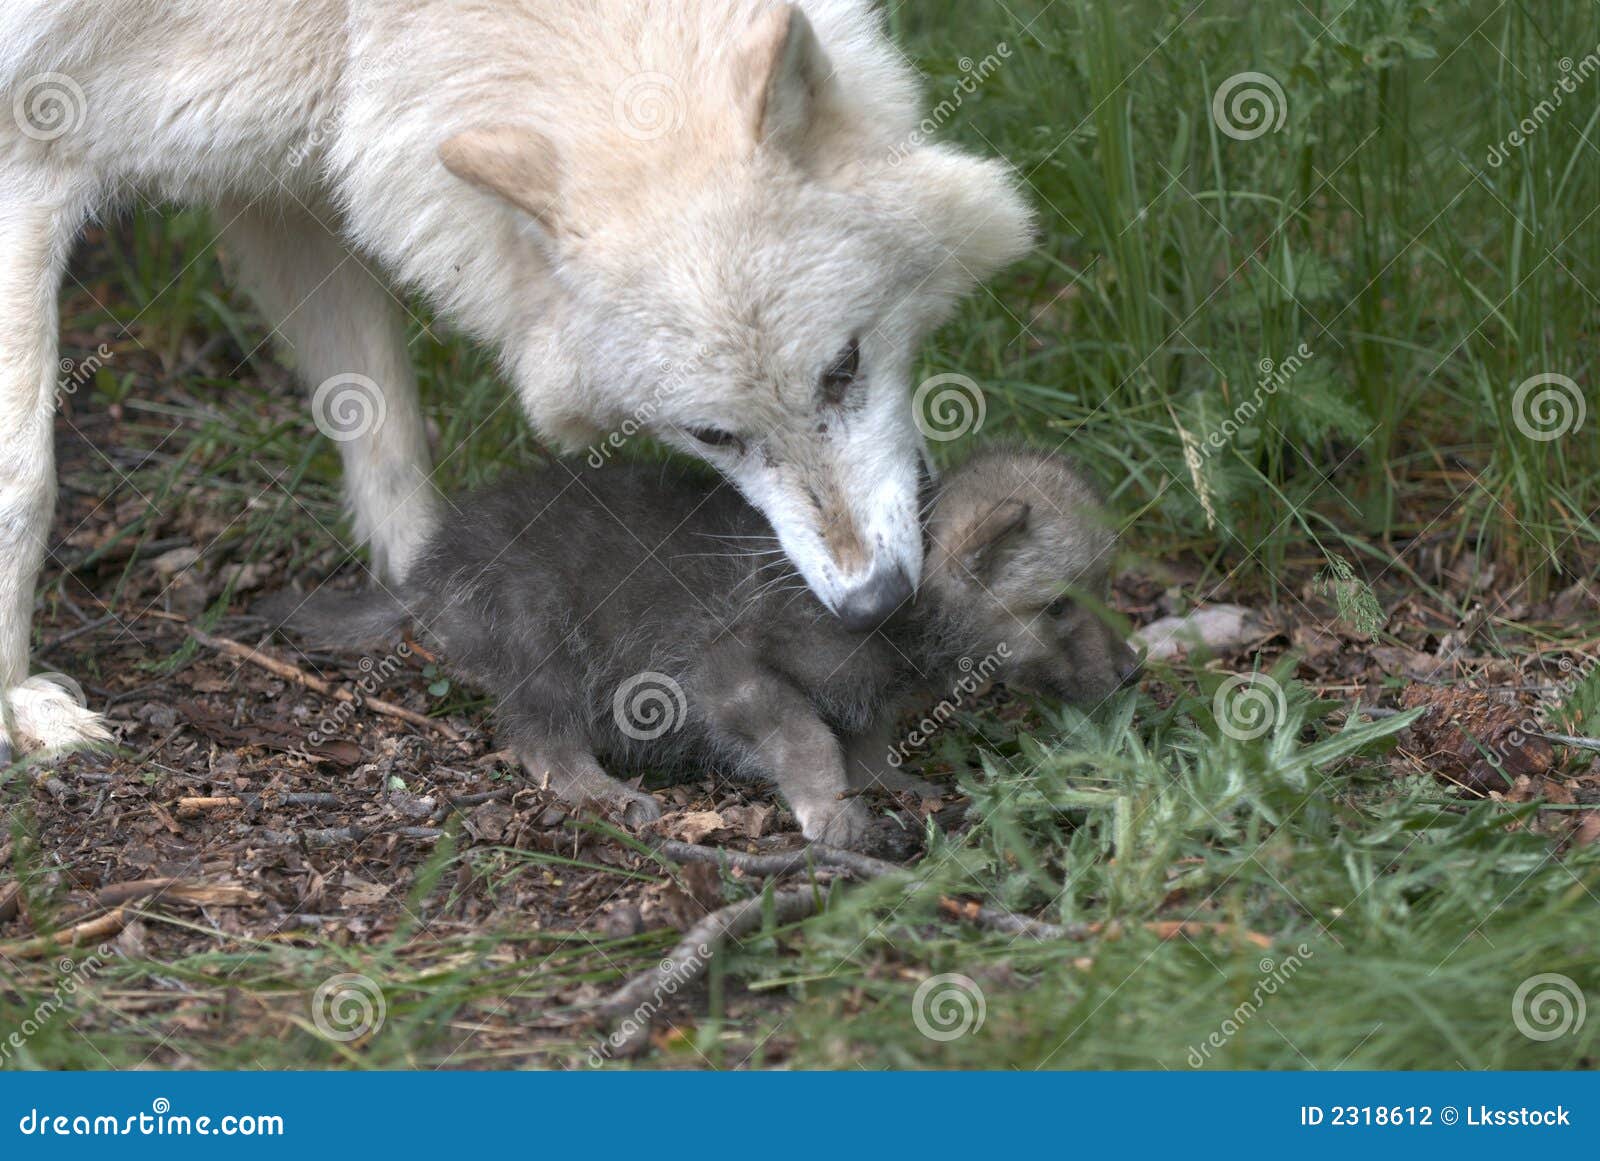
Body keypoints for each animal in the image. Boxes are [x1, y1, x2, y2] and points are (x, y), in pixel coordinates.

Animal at [0, 0, 1033, 762]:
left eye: (842, 369)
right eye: (714, 436)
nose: (875, 601)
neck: (360, 24)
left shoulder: (290, 188)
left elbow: (381, 427)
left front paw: (427, 596)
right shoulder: (31, 162)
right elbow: (25, 487)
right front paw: (20, 705)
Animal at [267, 446, 1139, 848]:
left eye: (1111, 584)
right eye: (1060, 606)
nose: (1135, 671)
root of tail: (429, 568)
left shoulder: (866, 697)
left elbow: (864, 738)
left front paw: (892, 785)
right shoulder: (727, 669)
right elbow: (808, 738)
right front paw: (832, 815)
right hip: (542, 638)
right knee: (541, 741)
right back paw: (606, 793)